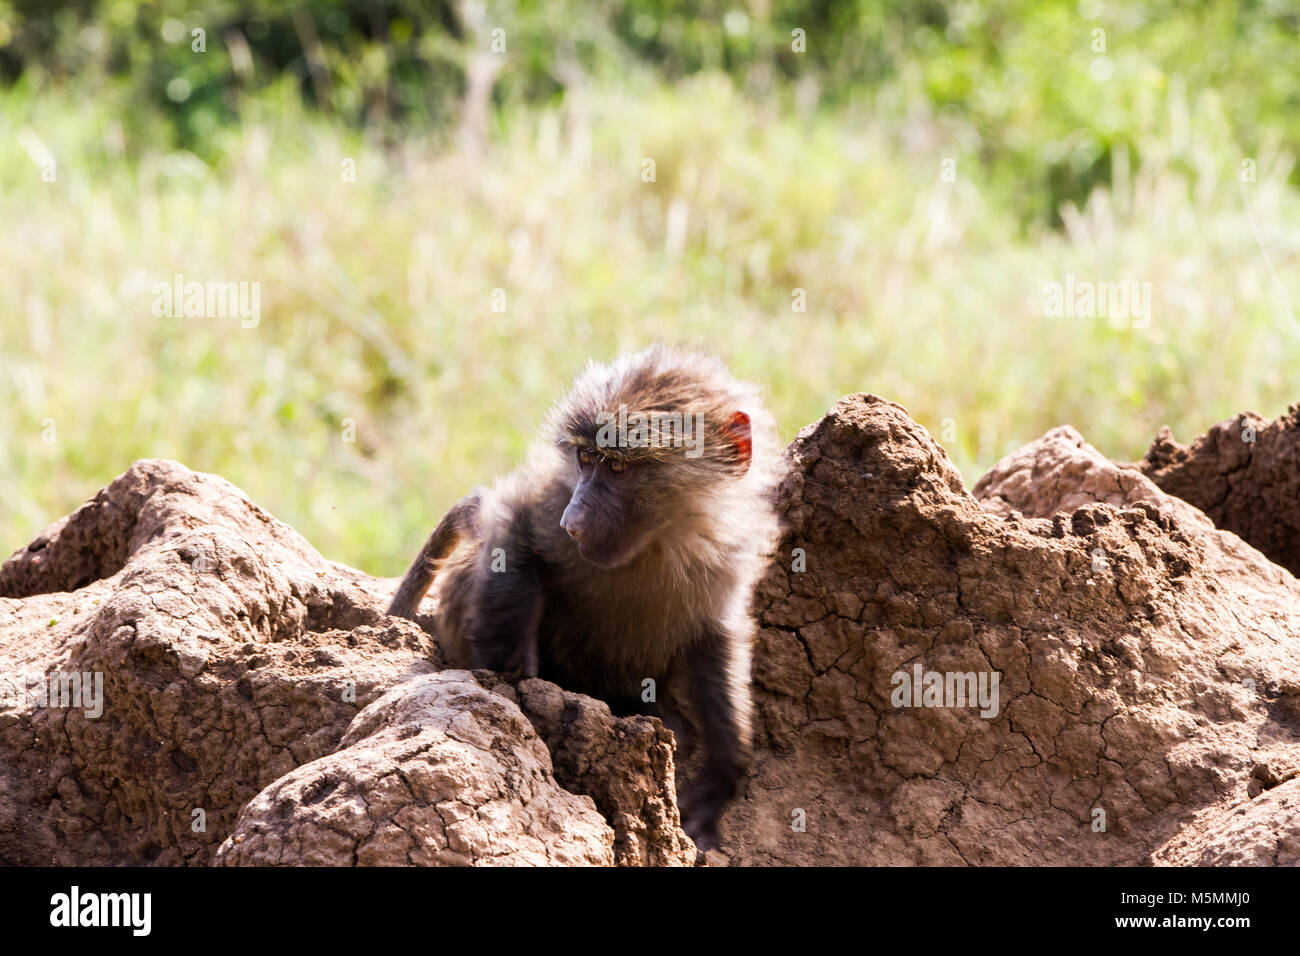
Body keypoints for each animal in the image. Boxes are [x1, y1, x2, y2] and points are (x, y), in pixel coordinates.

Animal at [387, 345, 782, 849]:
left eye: (617, 467)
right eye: (584, 457)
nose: (573, 522)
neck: (658, 541)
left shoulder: (725, 555)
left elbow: (717, 639)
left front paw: (717, 784)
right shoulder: (552, 498)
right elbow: (513, 526)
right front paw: (512, 679)